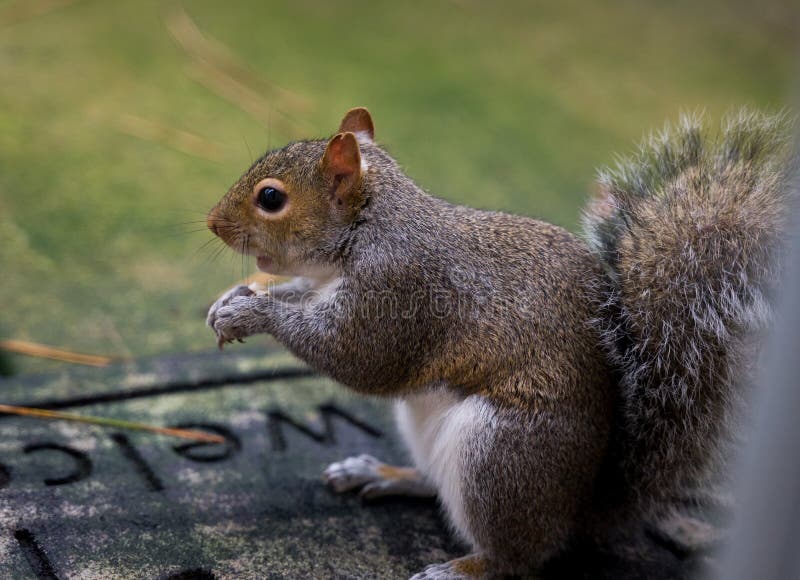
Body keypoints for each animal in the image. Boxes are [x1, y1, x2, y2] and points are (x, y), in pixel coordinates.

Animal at [205, 107, 793, 578]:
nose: (211, 223)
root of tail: (580, 508)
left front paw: (254, 310)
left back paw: (461, 570)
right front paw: (233, 300)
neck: (369, 226)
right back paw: (384, 473)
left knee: (518, 558)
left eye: (271, 198)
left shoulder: (399, 290)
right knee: (438, 487)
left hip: (501, 455)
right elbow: (301, 295)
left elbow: (356, 356)